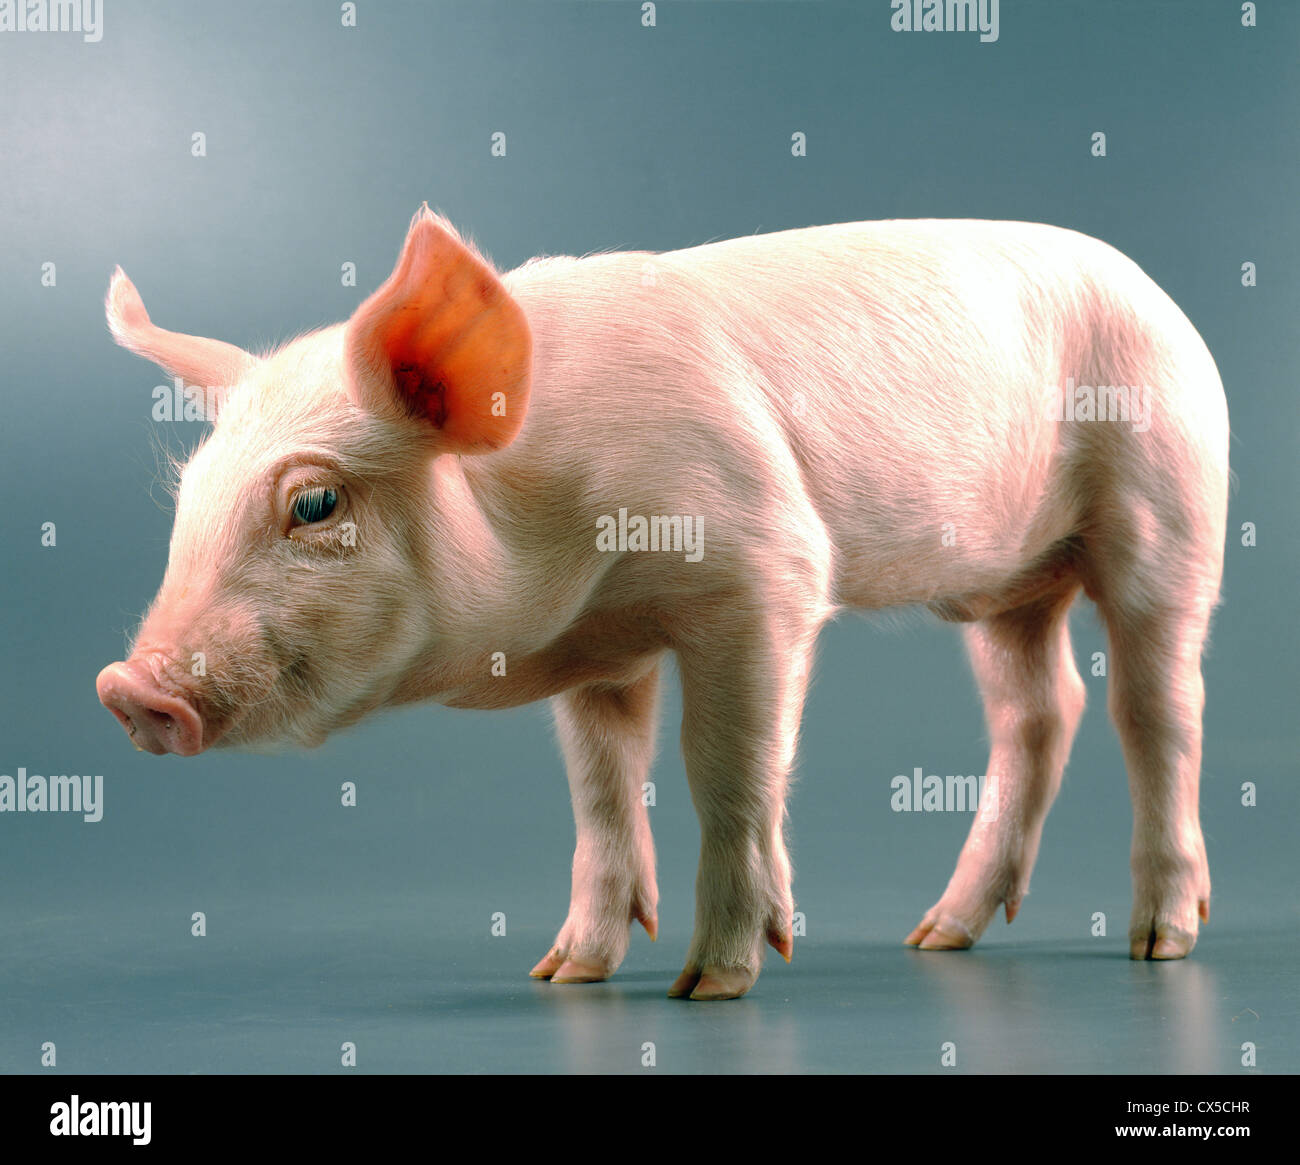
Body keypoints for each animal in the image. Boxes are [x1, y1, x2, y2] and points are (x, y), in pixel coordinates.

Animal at [96, 208, 1229, 1000]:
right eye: (187, 496)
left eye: (314, 502)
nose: (126, 685)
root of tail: (1159, 293)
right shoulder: (599, 648)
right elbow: (601, 793)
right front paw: (562, 974)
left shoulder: (768, 572)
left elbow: (725, 768)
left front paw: (711, 984)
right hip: (1003, 584)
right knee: (1039, 709)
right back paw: (937, 935)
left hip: (1168, 497)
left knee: (1156, 707)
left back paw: (1159, 942)